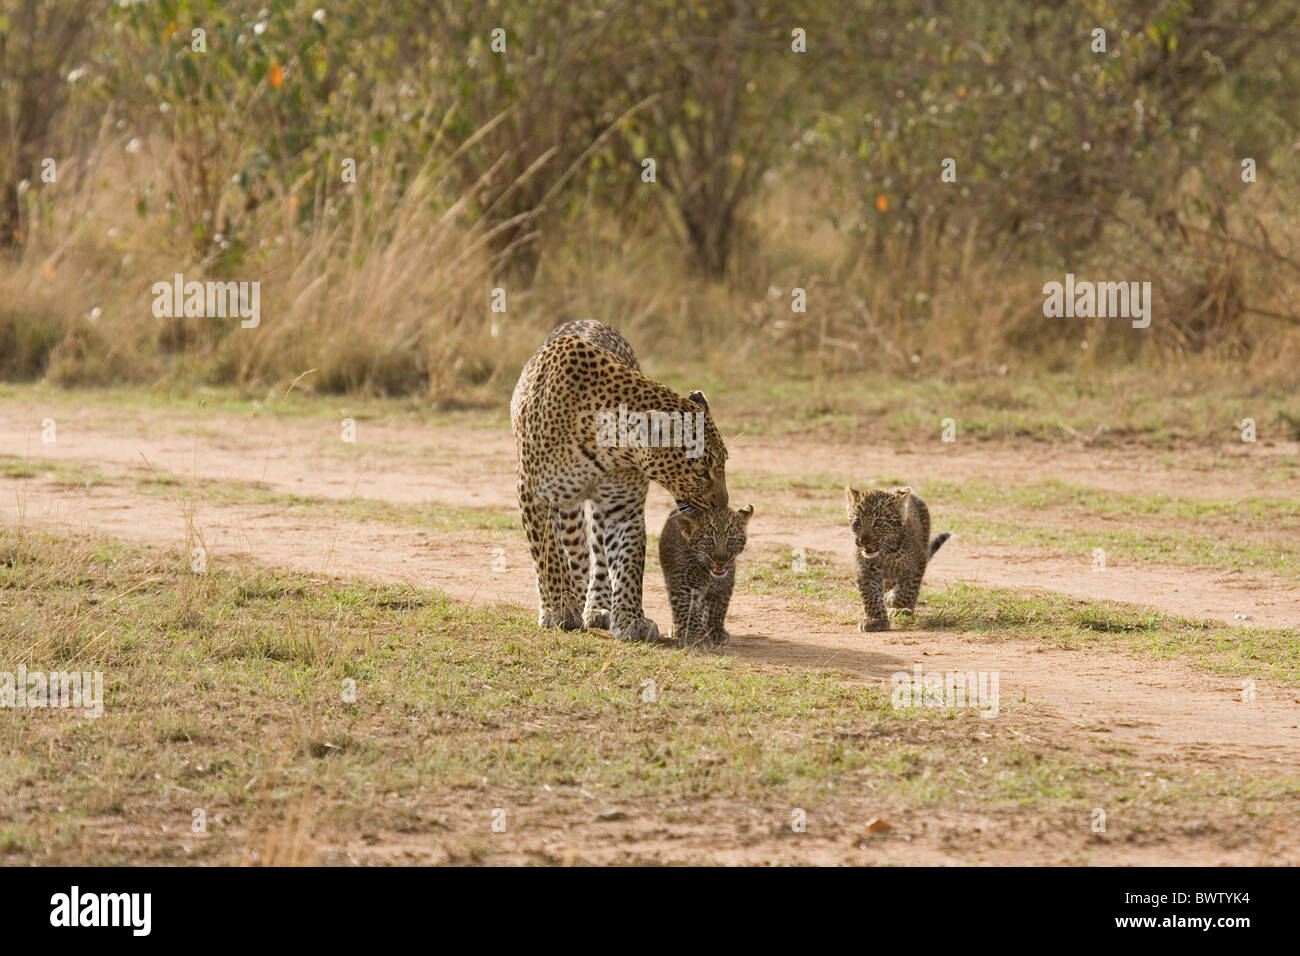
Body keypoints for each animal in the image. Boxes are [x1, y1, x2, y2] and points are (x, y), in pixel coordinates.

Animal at [511, 320, 730, 643]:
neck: (605, 448)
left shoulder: (623, 508)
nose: (723, 504)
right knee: (574, 551)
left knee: (599, 558)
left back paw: (599, 607)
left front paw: (629, 619)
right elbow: (549, 554)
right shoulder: (534, 494)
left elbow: (628, 563)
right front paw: (559, 609)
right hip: (567, 507)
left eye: (724, 462)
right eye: (703, 471)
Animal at [659, 503, 753, 649]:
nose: (721, 561)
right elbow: (689, 610)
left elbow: (718, 610)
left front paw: (716, 632)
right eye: (709, 541)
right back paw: (678, 629)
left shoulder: (724, 587)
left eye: (731, 541)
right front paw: (695, 636)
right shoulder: (682, 586)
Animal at [845, 485, 951, 632]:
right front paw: (876, 620)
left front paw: (895, 603)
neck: (887, 551)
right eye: (857, 521)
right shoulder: (867, 570)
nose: (863, 541)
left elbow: (907, 591)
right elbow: (871, 595)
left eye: (878, 522)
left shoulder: (917, 564)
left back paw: (902, 608)